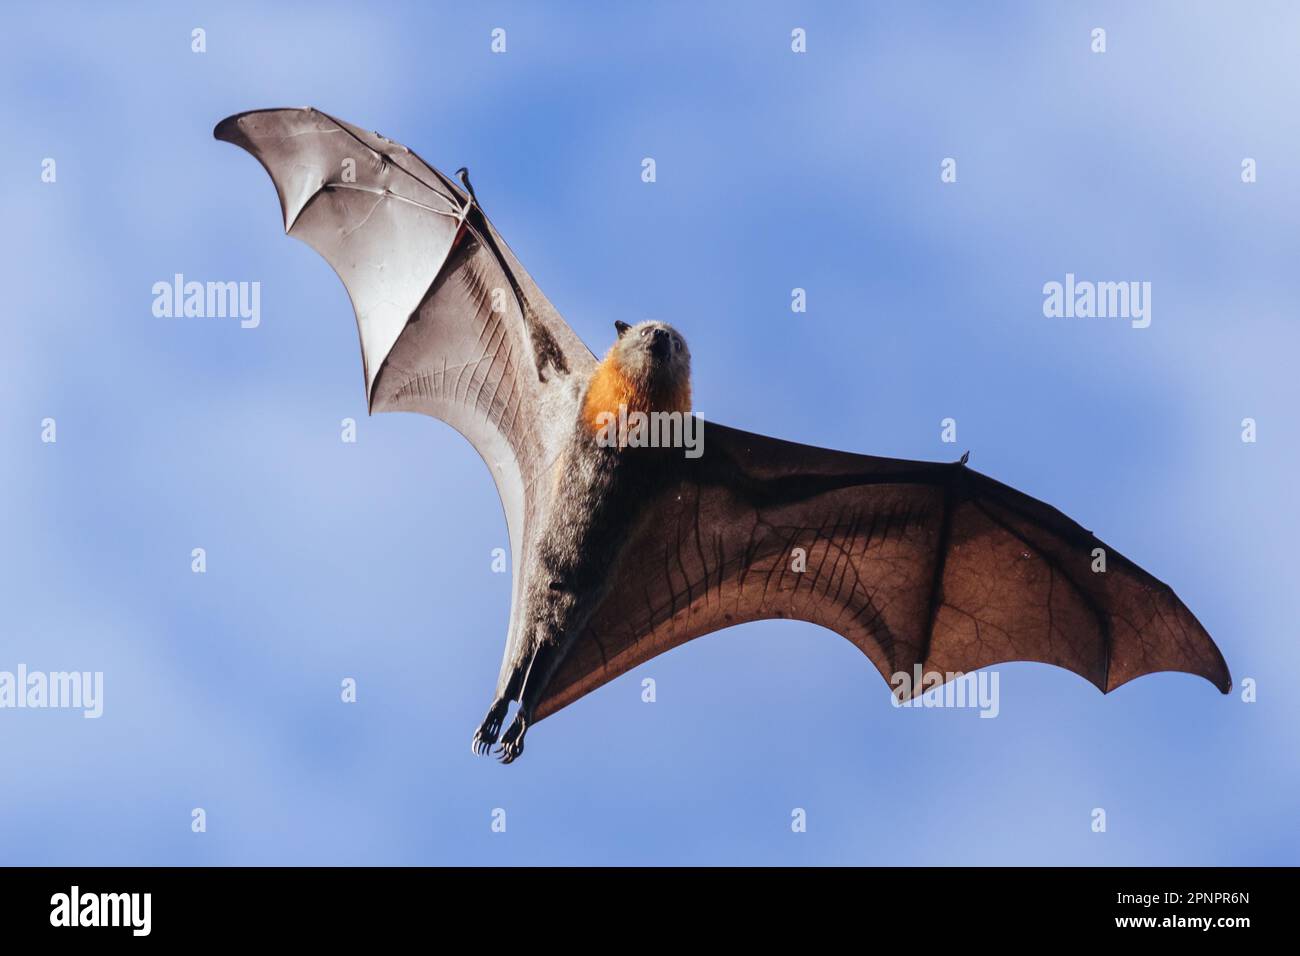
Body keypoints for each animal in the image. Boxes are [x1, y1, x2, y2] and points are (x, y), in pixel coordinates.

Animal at [471, 320, 692, 762]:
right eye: (645, 330)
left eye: (676, 342)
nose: (660, 336)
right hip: (538, 587)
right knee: (524, 649)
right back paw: (495, 717)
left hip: (578, 609)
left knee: (543, 657)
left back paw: (515, 726)